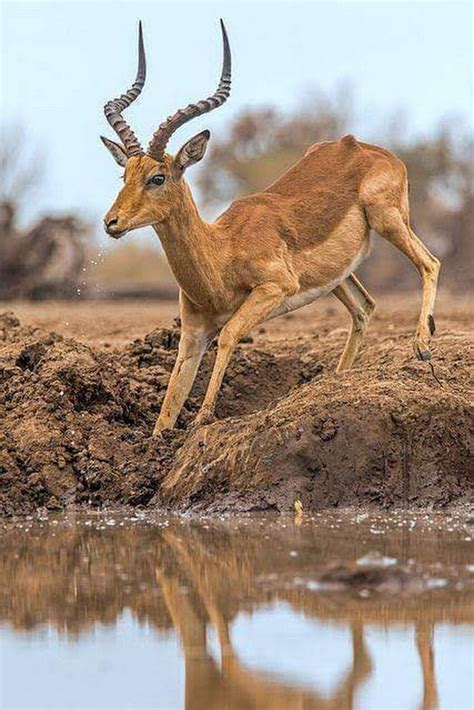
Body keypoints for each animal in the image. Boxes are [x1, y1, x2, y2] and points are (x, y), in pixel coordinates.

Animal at [102, 21, 440, 436]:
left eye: (158, 177)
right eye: (125, 175)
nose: (111, 222)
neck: (221, 254)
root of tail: (370, 149)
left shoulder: (275, 288)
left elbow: (230, 335)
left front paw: (204, 416)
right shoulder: (192, 334)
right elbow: (168, 404)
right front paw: (158, 441)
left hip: (387, 220)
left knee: (429, 263)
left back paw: (422, 345)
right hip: (336, 275)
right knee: (365, 307)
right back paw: (333, 381)